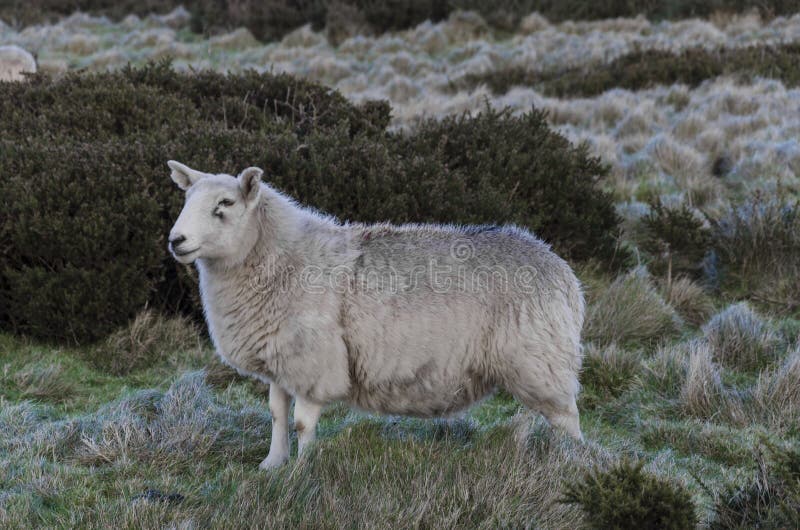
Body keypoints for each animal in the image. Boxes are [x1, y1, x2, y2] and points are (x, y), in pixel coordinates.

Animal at [167, 160, 585, 470]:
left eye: (225, 204)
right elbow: (276, 413)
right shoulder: (282, 358)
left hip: (541, 356)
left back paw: (570, 463)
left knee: (567, 419)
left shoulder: (316, 362)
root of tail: (560, 268)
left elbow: (302, 422)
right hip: (535, 363)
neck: (282, 256)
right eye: (186, 199)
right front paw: (272, 464)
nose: (176, 241)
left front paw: (301, 472)